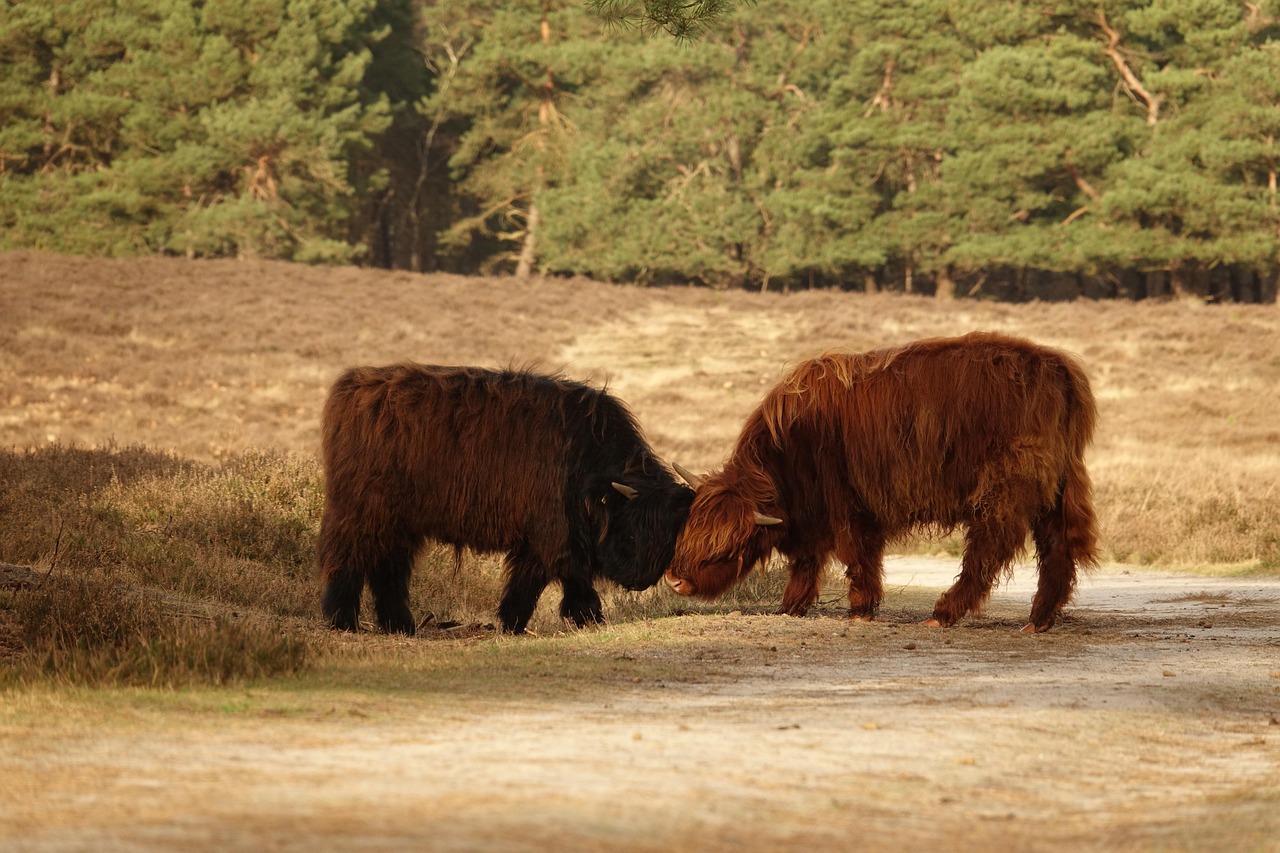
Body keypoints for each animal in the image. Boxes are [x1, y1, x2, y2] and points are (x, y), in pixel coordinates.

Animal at [317, 364, 694, 635]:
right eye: (632, 529)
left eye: (669, 536)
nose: (640, 580)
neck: (587, 460)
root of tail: (356, 385)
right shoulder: (552, 533)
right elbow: (556, 575)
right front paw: (574, 617)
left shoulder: (551, 535)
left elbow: (549, 577)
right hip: (361, 513)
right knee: (347, 558)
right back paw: (342, 620)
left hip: (398, 524)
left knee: (389, 568)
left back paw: (400, 625)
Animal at [663, 332, 1099, 632]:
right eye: (688, 529)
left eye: (725, 546)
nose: (674, 579)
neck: (794, 442)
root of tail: (1055, 365)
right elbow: (807, 563)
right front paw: (790, 607)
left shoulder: (847, 505)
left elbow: (855, 557)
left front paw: (860, 610)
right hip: (1055, 491)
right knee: (1057, 548)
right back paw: (1038, 620)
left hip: (1004, 492)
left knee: (989, 549)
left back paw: (943, 614)